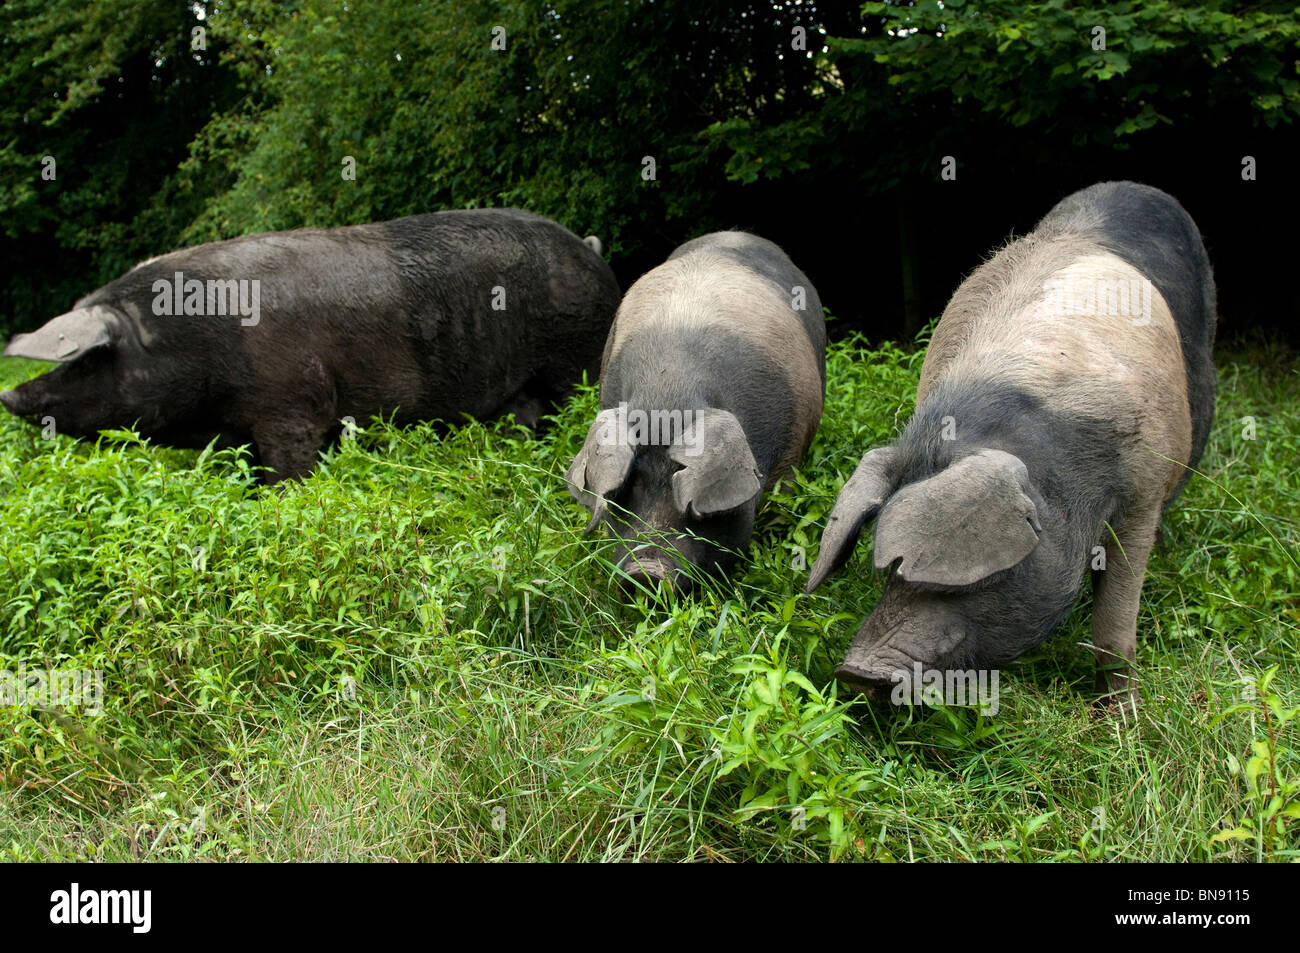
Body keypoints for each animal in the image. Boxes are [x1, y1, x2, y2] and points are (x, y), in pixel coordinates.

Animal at [1, 208, 619, 482]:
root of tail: (592, 252)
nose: (8, 397)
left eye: (85, 360)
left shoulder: (293, 401)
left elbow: (290, 465)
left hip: (576, 354)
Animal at [806, 181, 1217, 707]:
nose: (857, 671)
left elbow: (1113, 626)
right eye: (887, 570)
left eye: (986, 576)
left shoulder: (1141, 491)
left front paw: (1119, 716)